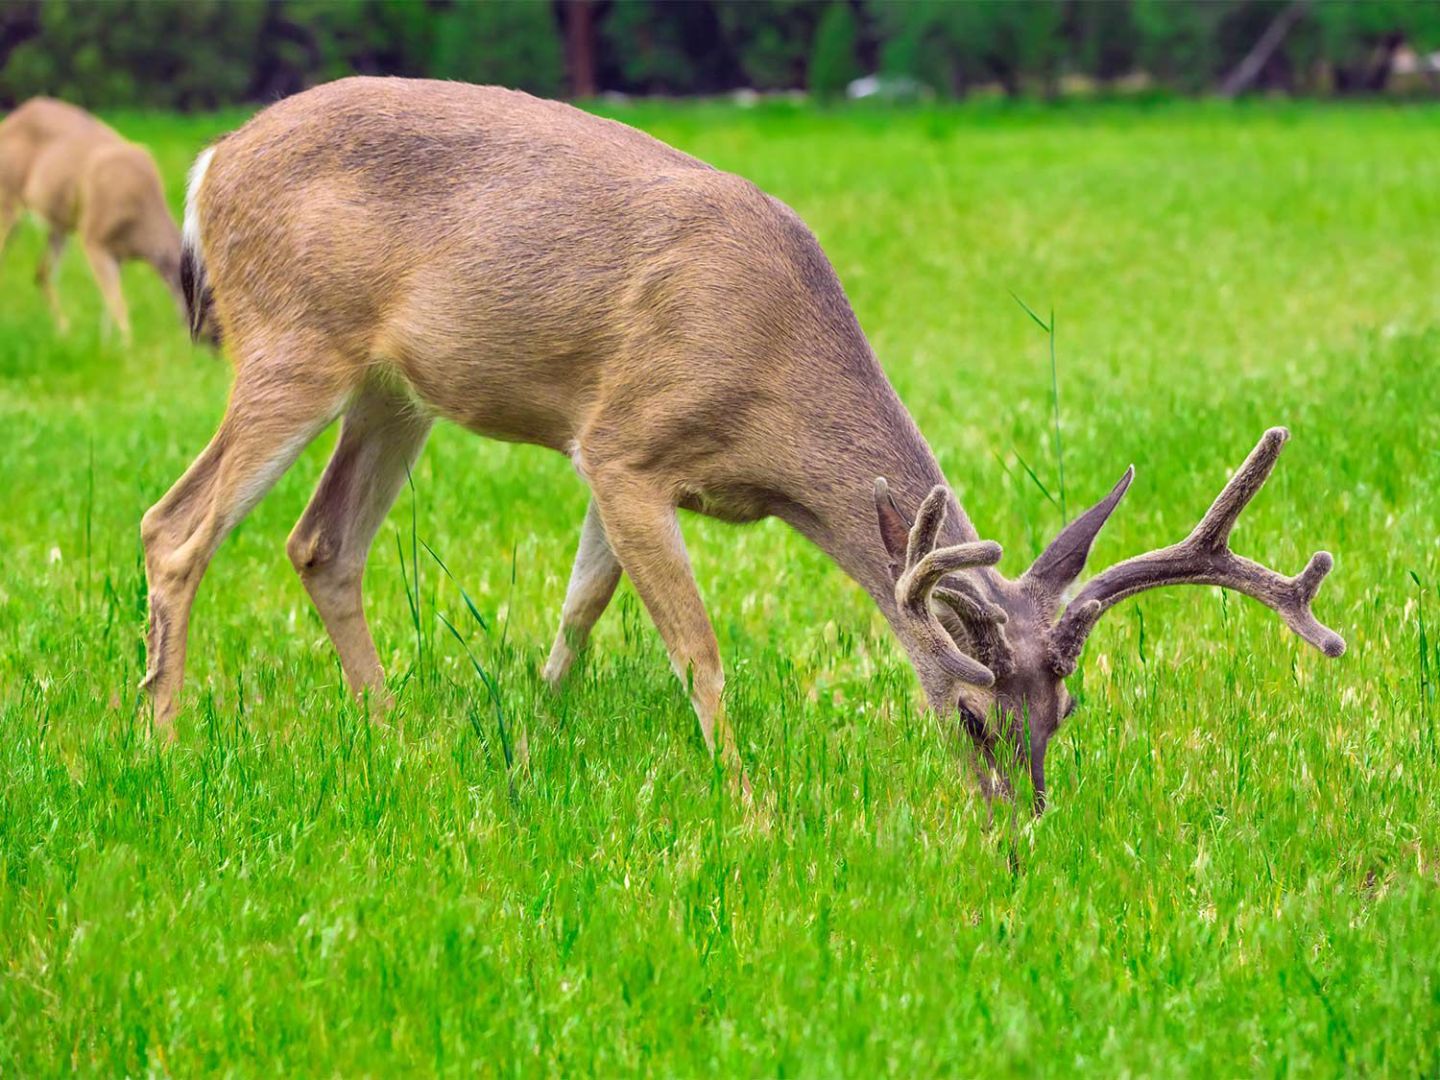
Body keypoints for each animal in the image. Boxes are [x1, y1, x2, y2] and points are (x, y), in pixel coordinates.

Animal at [0, 97, 184, 341]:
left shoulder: (117, 252)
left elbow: (109, 303)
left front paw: (107, 342)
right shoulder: (93, 237)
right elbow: (118, 302)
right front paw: (128, 344)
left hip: (60, 223)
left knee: (42, 273)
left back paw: (64, 330)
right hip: (8, 198)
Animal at [144, 76, 1345, 807]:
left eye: (1067, 710)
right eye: (970, 716)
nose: (1023, 821)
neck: (773, 402)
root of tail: (208, 167)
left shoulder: (607, 451)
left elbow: (580, 611)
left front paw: (534, 738)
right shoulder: (626, 444)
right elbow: (697, 646)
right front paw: (745, 797)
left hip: (395, 391)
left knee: (320, 544)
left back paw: (393, 738)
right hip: (294, 340)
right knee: (176, 527)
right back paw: (163, 735)